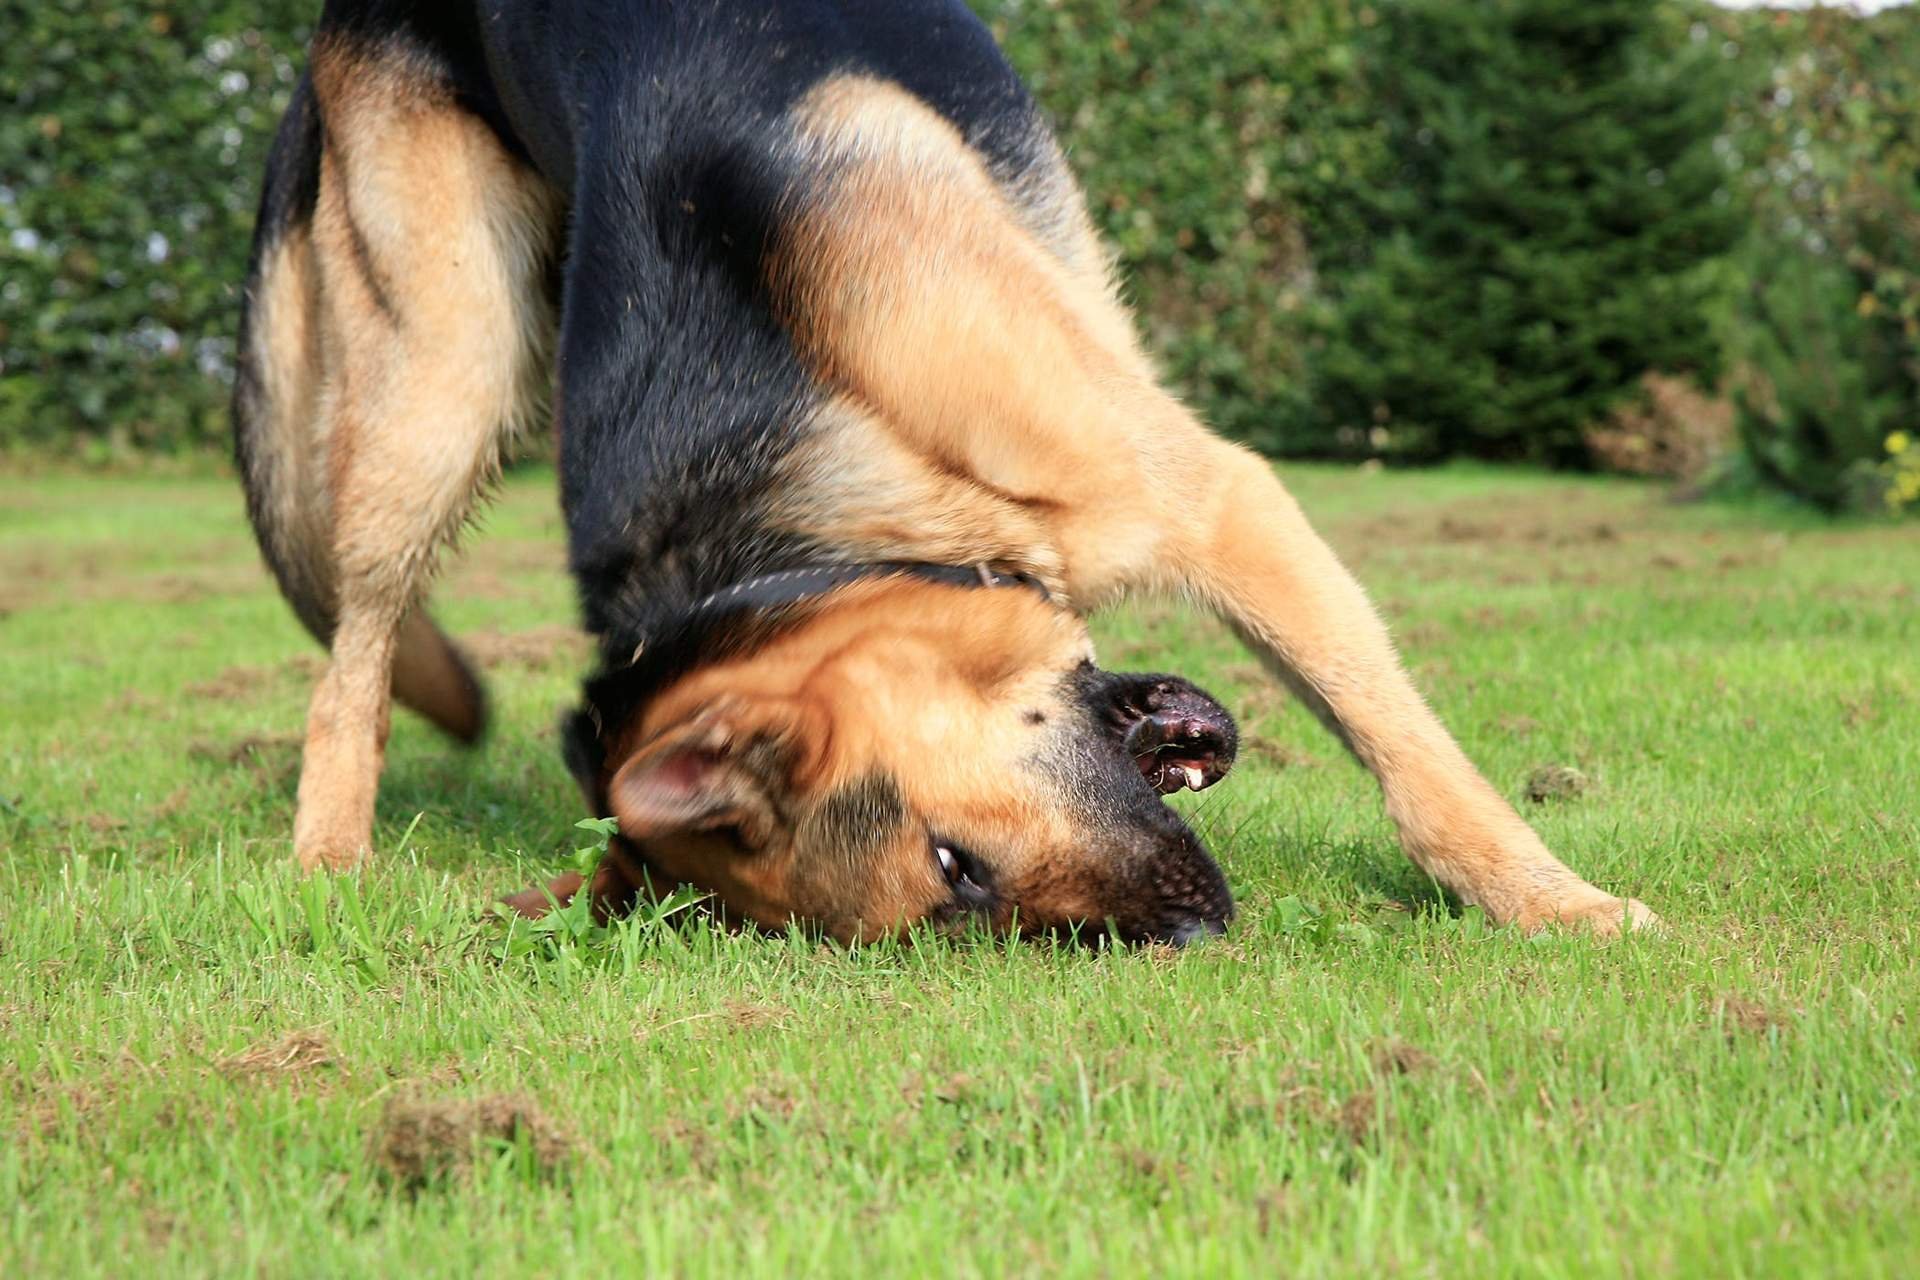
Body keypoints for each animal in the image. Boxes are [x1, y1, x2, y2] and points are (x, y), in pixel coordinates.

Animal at [236, 0, 1651, 940]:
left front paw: (1556, 904)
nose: (1191, 932)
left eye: (955, 860)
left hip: (449, 381)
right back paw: (326, 867)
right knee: (354, 665)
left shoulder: (1218, 498)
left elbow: (1412, 768)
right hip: (436, 375)